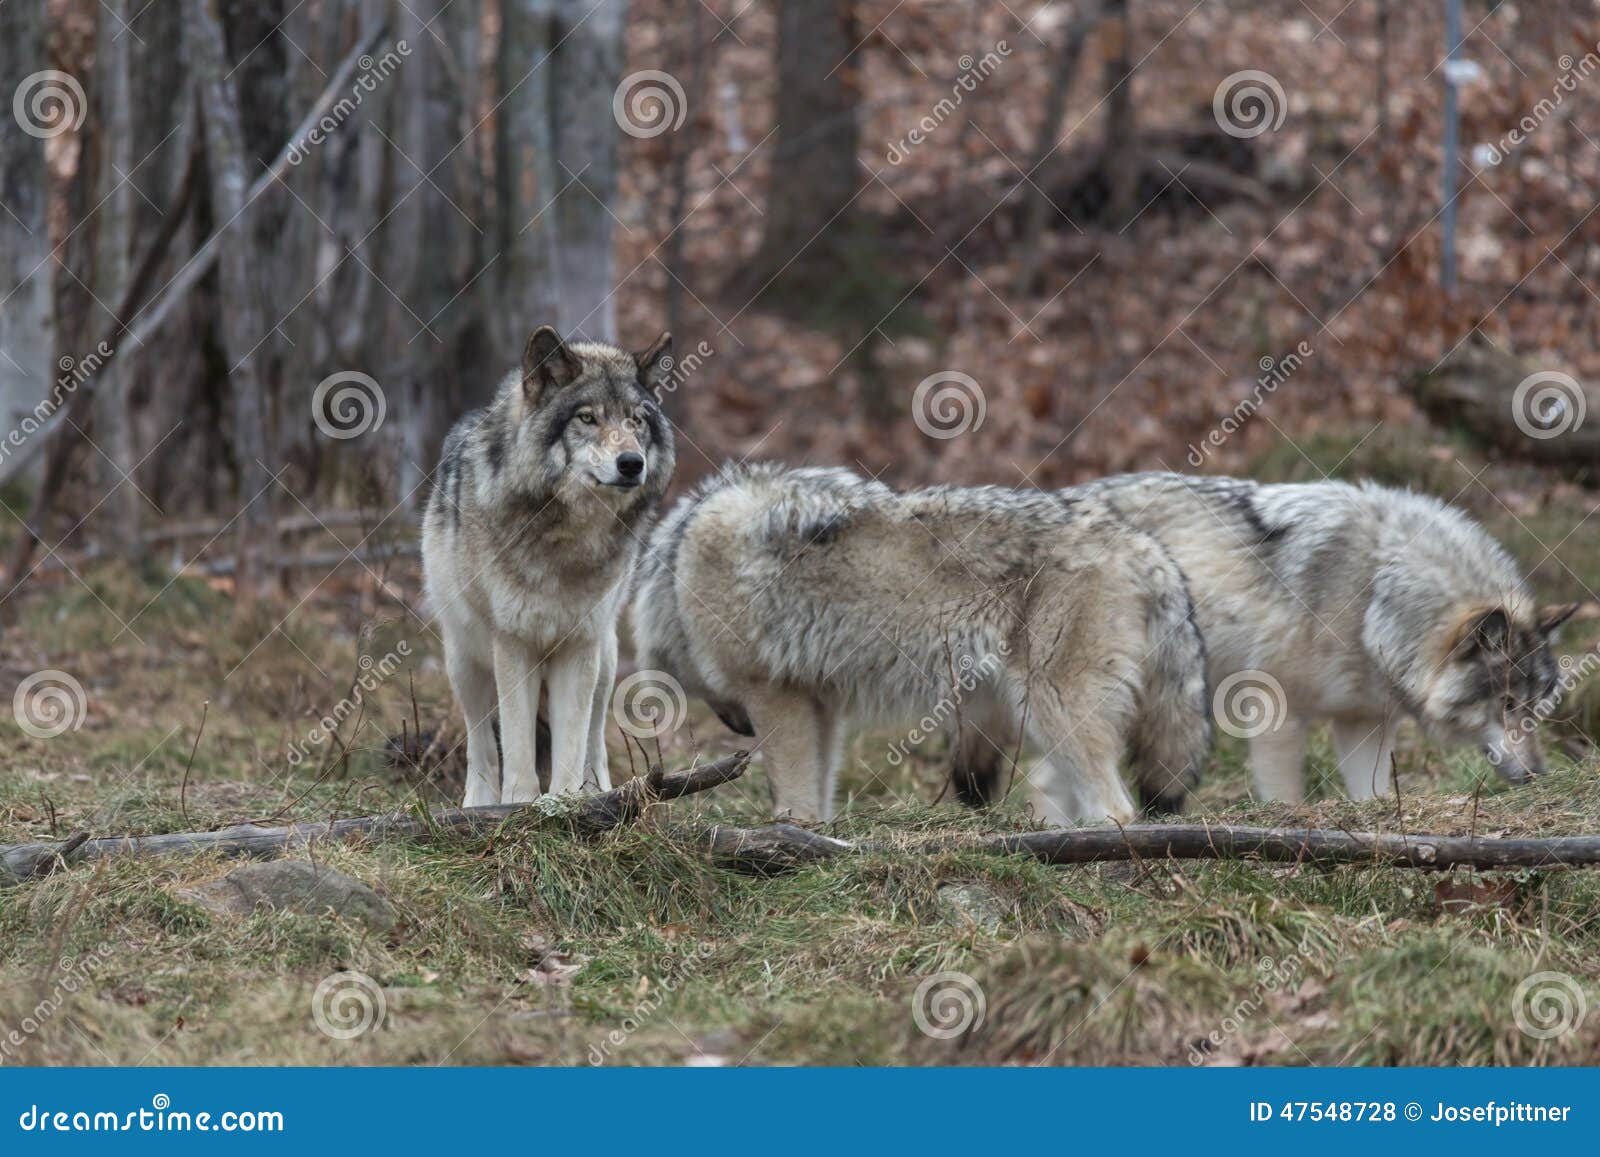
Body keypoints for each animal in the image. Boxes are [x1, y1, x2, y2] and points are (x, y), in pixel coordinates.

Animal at [422, 326, 676, 806]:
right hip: (464, 659)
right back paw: (477, 805)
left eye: (636, 420)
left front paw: (568, 804)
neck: (566, 541)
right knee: (482, 745)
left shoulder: (579, 645)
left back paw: (600, 794)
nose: (631, 463)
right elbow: (517, 746)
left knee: (594, 741)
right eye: (587, 418)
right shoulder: (514, 644)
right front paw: (519, 805)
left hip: (606, 659)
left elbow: (572, 743)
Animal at [632, 464, 1212, 824]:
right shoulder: (821, 702)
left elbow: (792, 786)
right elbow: (819, 787)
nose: (742, 729)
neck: (679, 570)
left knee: (1118, 809)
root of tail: (1145, 546)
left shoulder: (775, 694)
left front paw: (786, 835)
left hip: (1053, 707)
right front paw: (812, 836)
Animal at [952, 474, 1580, 806]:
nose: (1539, 775)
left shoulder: (1362, 725)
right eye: (1506, 704)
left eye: (1537, 708)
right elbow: (1285, 795)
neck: (1377, 595)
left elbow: (1373, 795)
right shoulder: (1277, 713)